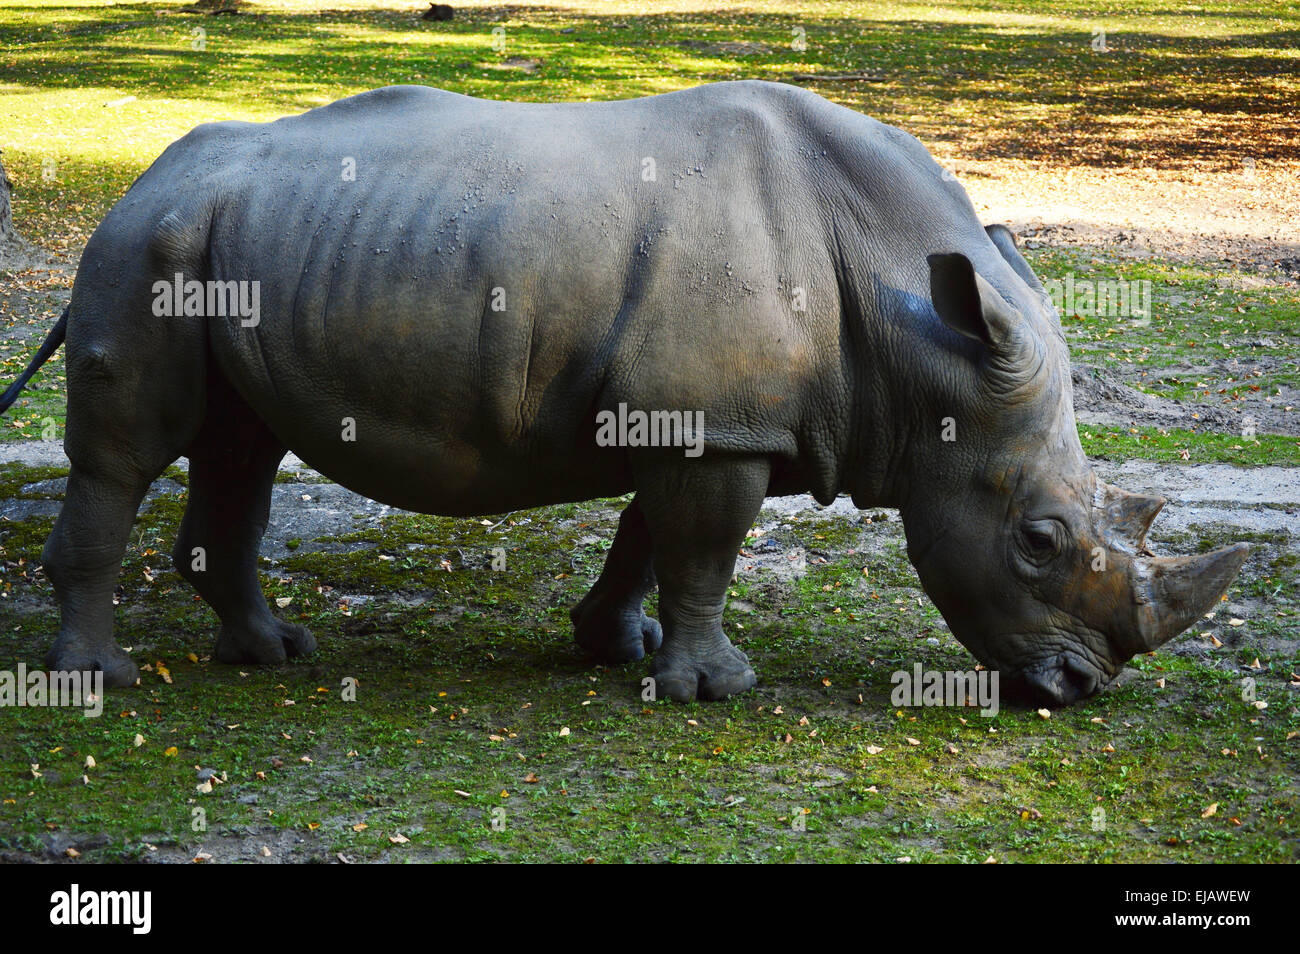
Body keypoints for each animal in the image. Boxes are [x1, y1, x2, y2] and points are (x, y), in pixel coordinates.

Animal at [0, 81, 1247, 705]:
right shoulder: (716, 423)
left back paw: (272, 653)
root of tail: (146, 175)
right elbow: (703, 548)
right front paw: (714, 689)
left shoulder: (701, 414)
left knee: (241, 445)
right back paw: (105, 678)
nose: (1077, 688)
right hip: (143, 245)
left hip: (231, 244)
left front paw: (617, 648)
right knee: (133, 451)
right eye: (1037, 540)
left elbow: (655, 537)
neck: (920, 336)